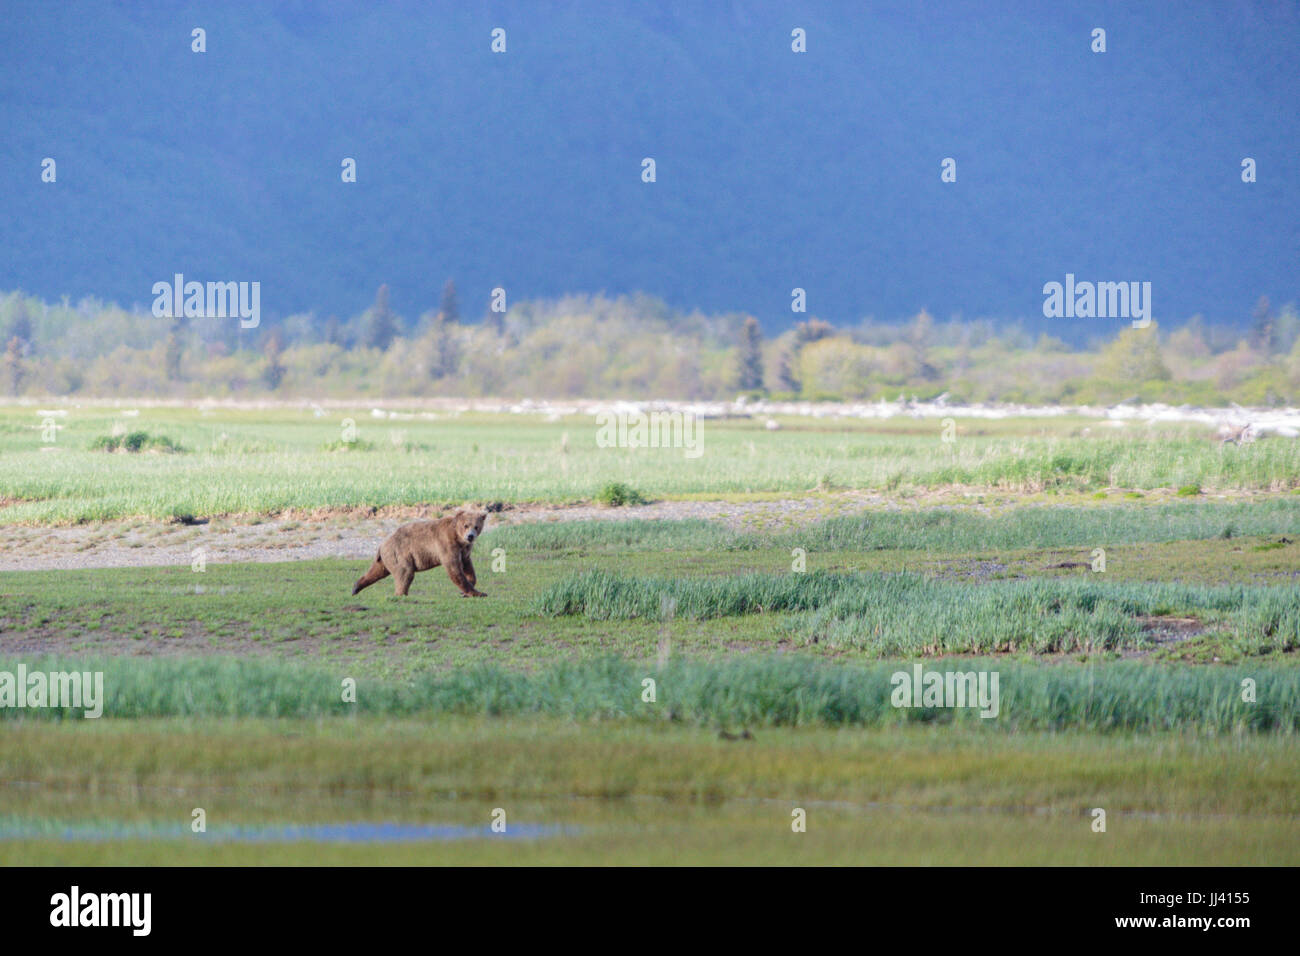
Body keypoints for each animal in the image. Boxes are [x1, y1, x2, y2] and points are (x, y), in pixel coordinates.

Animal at [351, 506, 488, 597]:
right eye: (466, 525)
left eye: (476, 526)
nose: (470, 536)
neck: (458, 538)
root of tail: (382, 544)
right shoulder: (446, 544)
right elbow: (454, 568)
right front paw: (478, 593)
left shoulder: (464, 550)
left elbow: (467, 565)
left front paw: (470, 586)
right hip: (399, 553)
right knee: (405, 573)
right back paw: (401, 594)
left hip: (387, 557)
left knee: (377, 571)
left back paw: (356, 587)